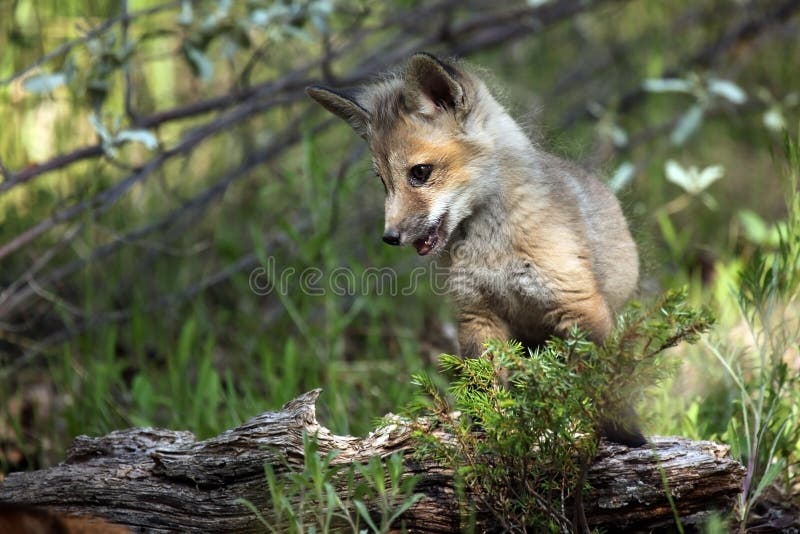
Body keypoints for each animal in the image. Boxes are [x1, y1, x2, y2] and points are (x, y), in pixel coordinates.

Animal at [307, 52, 644, 446]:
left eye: (420, 172)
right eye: (383, 182)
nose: (389, 237)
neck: (493, 250)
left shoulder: (578, 306)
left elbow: (605, 381)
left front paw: (623, 434)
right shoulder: (476, 315)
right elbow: (484, 388)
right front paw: (491, 434)